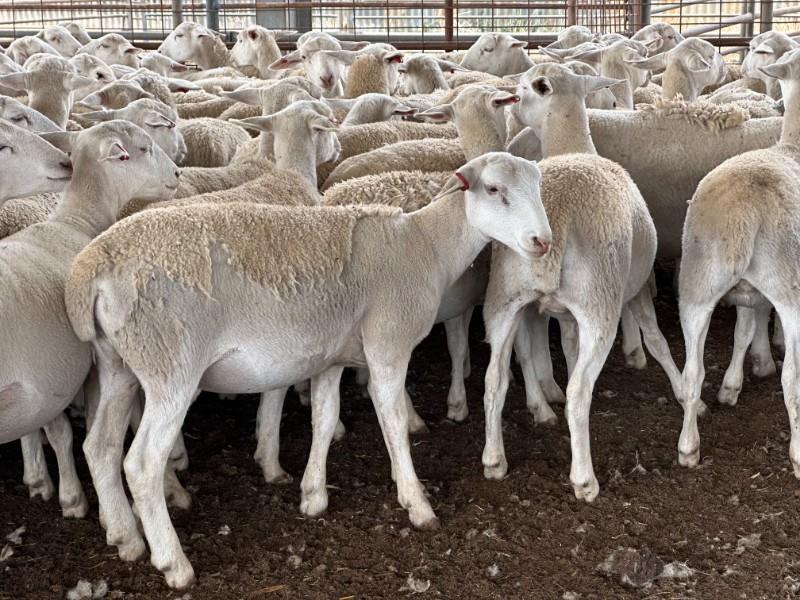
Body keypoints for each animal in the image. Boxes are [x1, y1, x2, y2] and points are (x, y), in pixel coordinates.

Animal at [0, 121, 179, 521]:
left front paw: (41, 481)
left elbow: (44, 429)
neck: (74, 222)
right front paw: (78, 499)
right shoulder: (76, 370)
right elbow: (78, 430)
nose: (178, 174)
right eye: (145, 147)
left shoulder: (43, 381)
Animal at [65, 149, 548, 589]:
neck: (425, 245)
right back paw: (173, 564)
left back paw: (125, 538)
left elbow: (324, 418)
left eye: (539, 188)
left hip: (119, 366)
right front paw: (416, 503)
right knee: (142, 463)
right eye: (493, 189)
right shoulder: (387, 346)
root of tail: (92, 268)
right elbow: (391, 422)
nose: (542, 242)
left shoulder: (333, 356)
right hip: (170, 368)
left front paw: (313, 495)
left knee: (100, 447)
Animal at [480, 63, 682, 502]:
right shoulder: (635, 289)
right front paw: (682, 389)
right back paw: (584, 479)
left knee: (493, 381)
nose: (507, 96)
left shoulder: (565, 314)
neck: (571, 146)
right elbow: (656, 339)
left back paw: (493, 461)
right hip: (600, 304)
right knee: (577, 393)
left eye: (524, 88)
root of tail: (549, 229)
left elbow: (571, 349)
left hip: (503, 301)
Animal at [676, 48, 800, 474]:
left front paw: (731, 387)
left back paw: (688, 448)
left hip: (696, 284)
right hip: (788, 287)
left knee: (692, 372)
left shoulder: (748, 293)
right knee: (793, 380)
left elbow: (743, 333)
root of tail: (743, 213)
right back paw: (797, 455)